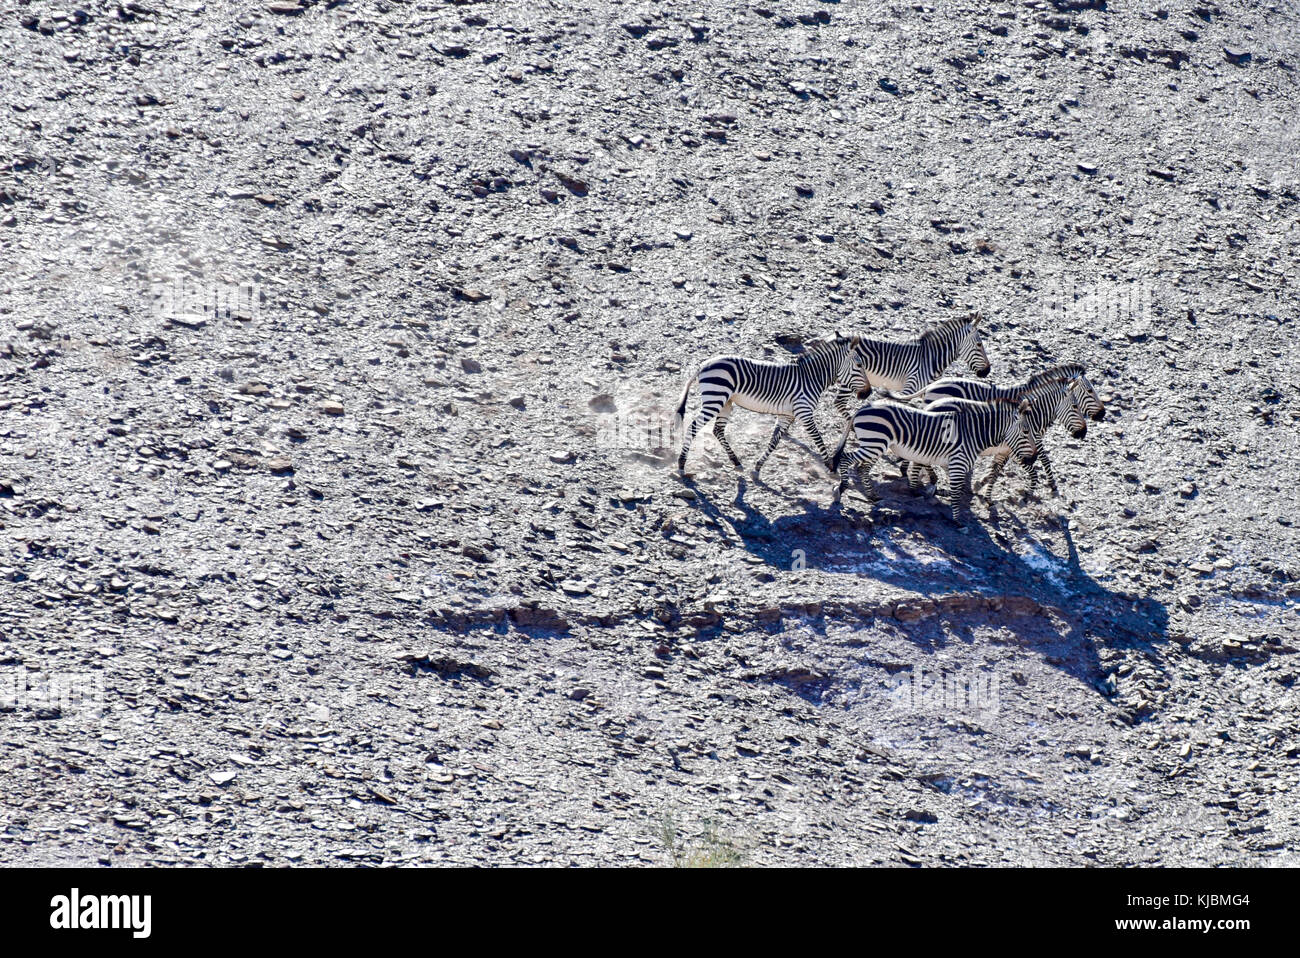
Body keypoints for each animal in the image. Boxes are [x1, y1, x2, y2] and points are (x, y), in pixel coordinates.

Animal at [676, 333, 862, 477]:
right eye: (859, 365)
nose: (865, 393)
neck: (812, 378)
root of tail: (704, 365)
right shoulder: (804, 412)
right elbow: (818, 438)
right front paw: (830, 466)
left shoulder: (787, 415)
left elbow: (774, 441)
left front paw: (758, 467)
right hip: (715, 399)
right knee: (693, 427)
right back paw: (681, 464)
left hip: (726, 402)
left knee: (717, 430)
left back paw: (736, 462)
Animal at [827, 312, 992, 418]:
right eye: (979, 345)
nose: (987, 371)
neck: (931, 358)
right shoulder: (910, 387)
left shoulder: (926, 390)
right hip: (850, 379)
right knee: (839, 402)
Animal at [831, 396, 1040, 523]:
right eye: (1026, 432)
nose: (1034, 458)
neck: (973, 433)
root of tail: (863, 407)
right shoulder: (958, 463)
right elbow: (956, 492)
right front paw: (958, 521)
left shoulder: (952, 464)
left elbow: (956, 489)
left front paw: (936, 493)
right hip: (874, 443)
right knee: (846, 459)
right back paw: (840, 489)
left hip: (874, 445)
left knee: (862, 468)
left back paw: (872, 496)